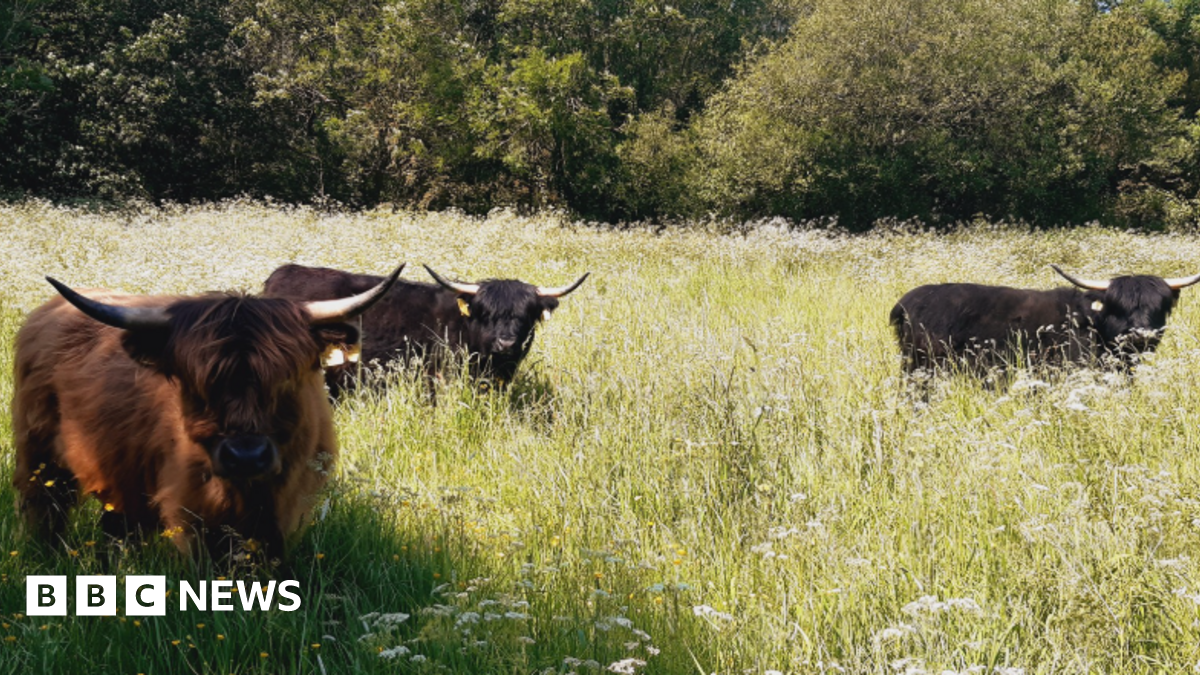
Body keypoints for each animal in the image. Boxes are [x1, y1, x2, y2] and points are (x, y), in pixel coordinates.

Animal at [11, 266, 404, 560]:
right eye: (198, 383)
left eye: (287, 378)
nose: (246, 456)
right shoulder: (190, 505)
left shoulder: (289, 502)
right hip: (39, 456)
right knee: (44, 509)